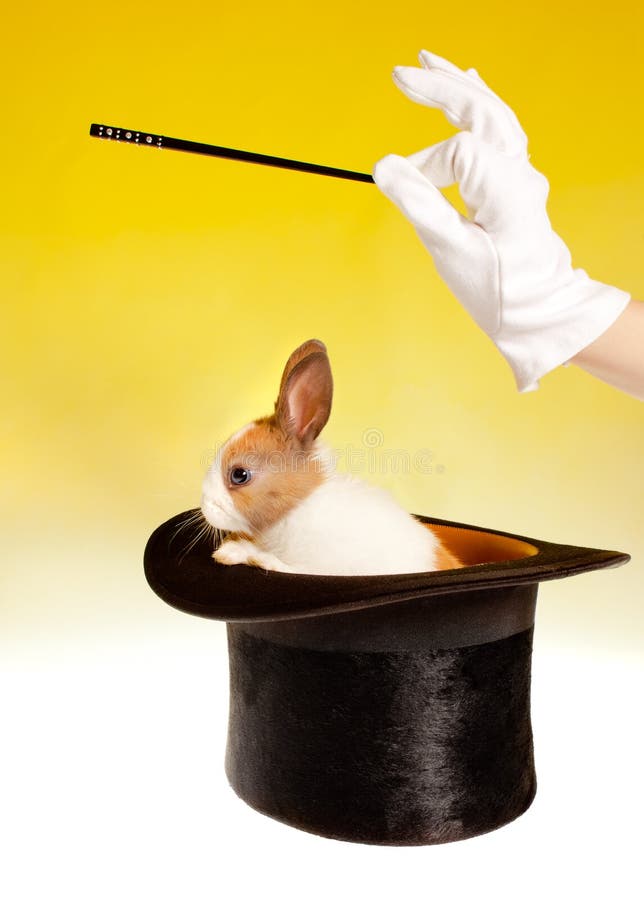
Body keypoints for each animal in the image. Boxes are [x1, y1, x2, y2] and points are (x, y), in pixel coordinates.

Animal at [200, 339, 461, 575]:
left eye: (239, 475)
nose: (204, 506)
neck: (297, 507)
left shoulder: (310, 568)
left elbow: (273, 561)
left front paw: (231, 552)